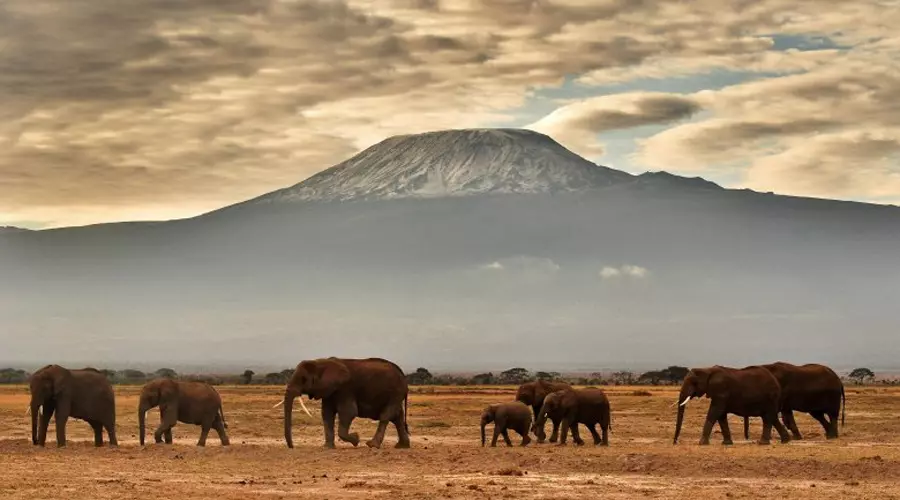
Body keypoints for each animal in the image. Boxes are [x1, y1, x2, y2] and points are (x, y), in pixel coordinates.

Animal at [278, 358, 412, 452]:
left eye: (303, 379)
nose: (292, 446)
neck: (320, 362)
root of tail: (402, 375)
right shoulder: (329, 391)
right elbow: (326, 414)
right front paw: (327, 447)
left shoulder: (345, 389)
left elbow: (348, 412)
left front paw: (356, 439)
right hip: (395, 395)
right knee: (398, 418)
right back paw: (402, 446)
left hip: (395, 393)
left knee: (386, 416)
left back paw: (372, 445)